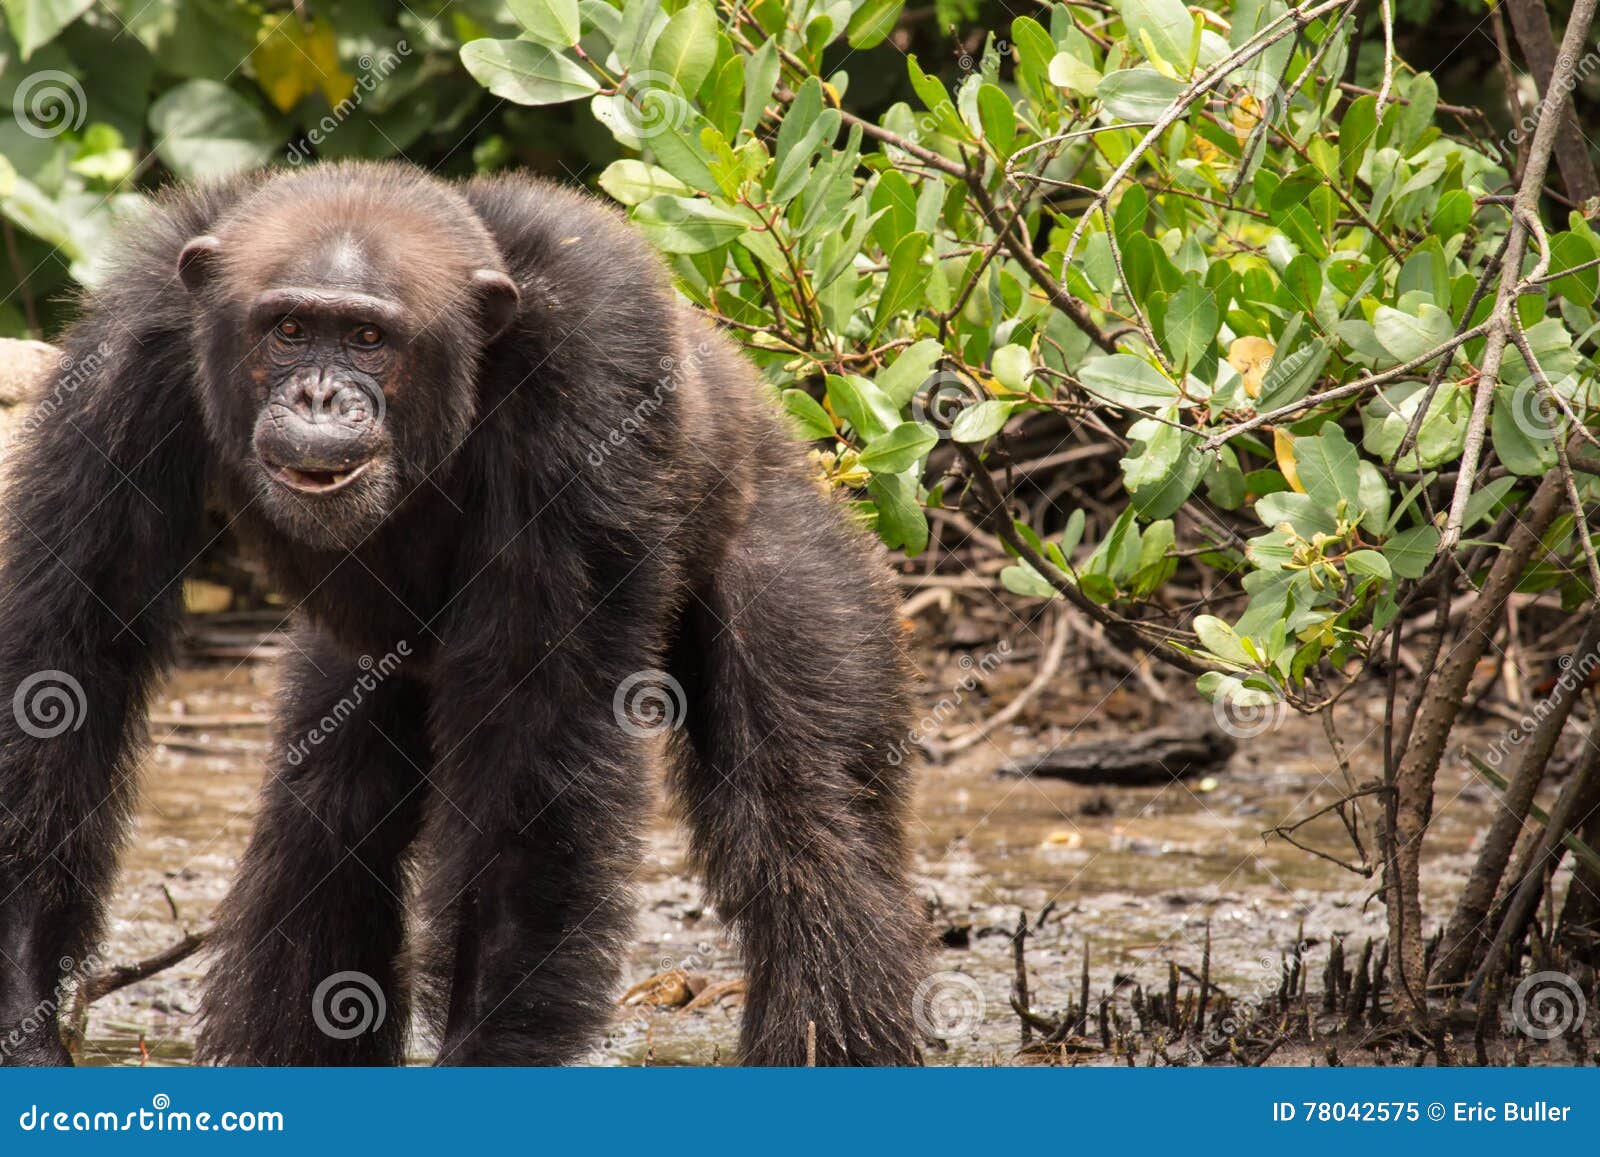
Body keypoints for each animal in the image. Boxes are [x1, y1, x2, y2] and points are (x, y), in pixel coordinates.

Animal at [0, 162, 926, 1066]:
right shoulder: (130, 351)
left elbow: (534, 724)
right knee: (330, 811)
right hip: (364, 663)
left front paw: (483, 1045)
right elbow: (68, 651)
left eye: (369, 339)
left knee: (802, 813)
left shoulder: (595, 364)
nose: (321, 395)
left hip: (810, 567)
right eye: (289, 328)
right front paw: (25, 1019)